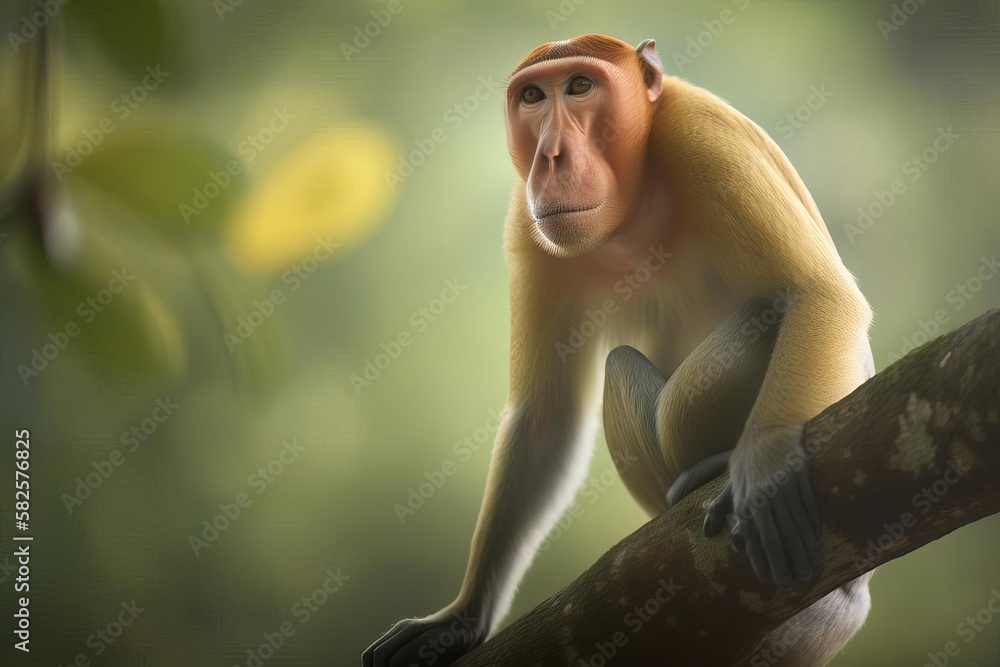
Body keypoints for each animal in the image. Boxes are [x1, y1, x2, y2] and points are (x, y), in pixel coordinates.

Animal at [363, 34, 875, 666]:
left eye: (580, 86)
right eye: (533, 97)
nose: (550, 156)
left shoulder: (700, 137)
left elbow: (818, 296)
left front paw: (769, 463)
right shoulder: (528, 223)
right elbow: (546, 418)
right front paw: (460, 619)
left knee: (765, 315)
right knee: (623, 365)